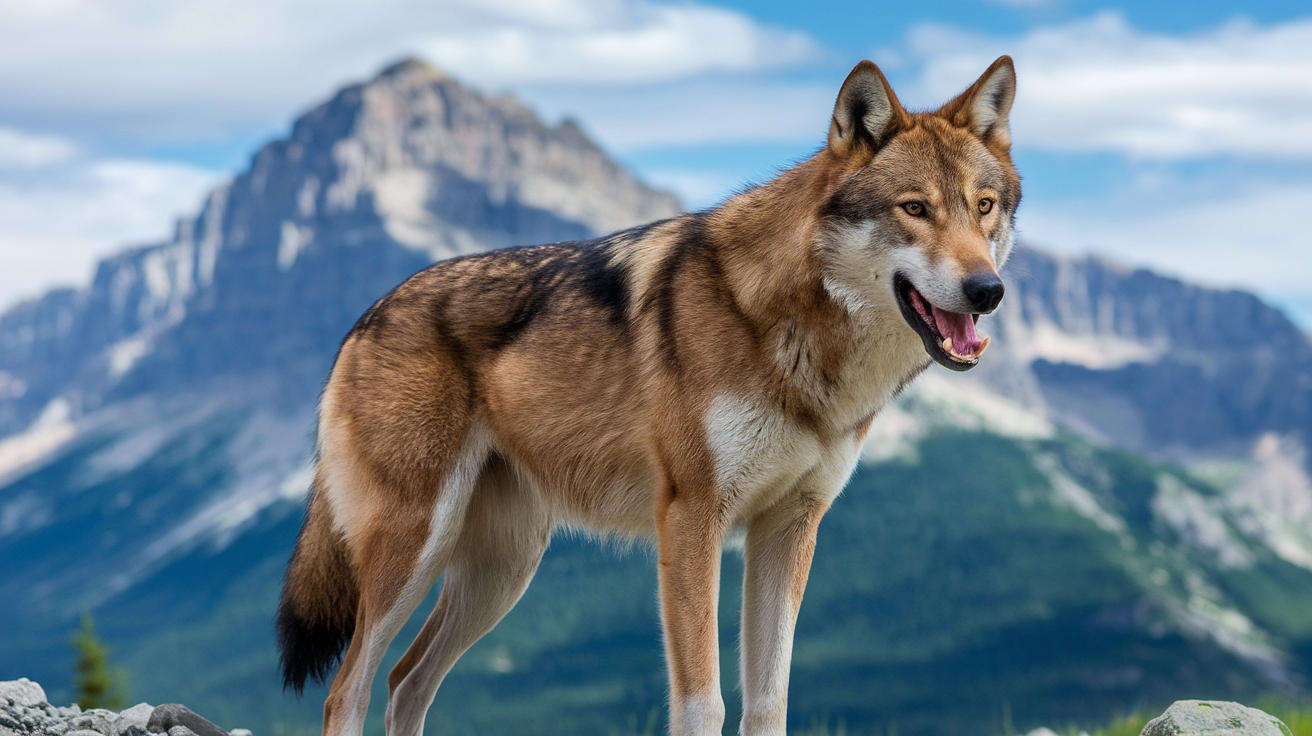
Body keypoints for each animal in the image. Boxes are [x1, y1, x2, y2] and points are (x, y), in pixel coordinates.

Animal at [276, 56, 1020, 736]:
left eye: (983, 208)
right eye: (914, 208)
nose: (988, 291)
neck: (791, 333)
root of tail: (363, 317)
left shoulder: (788, 527)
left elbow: (768, 701)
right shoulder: (691, 518)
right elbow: (704, 703)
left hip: (501, 574)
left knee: (405, 681)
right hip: (417, 548)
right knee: (348, 689)